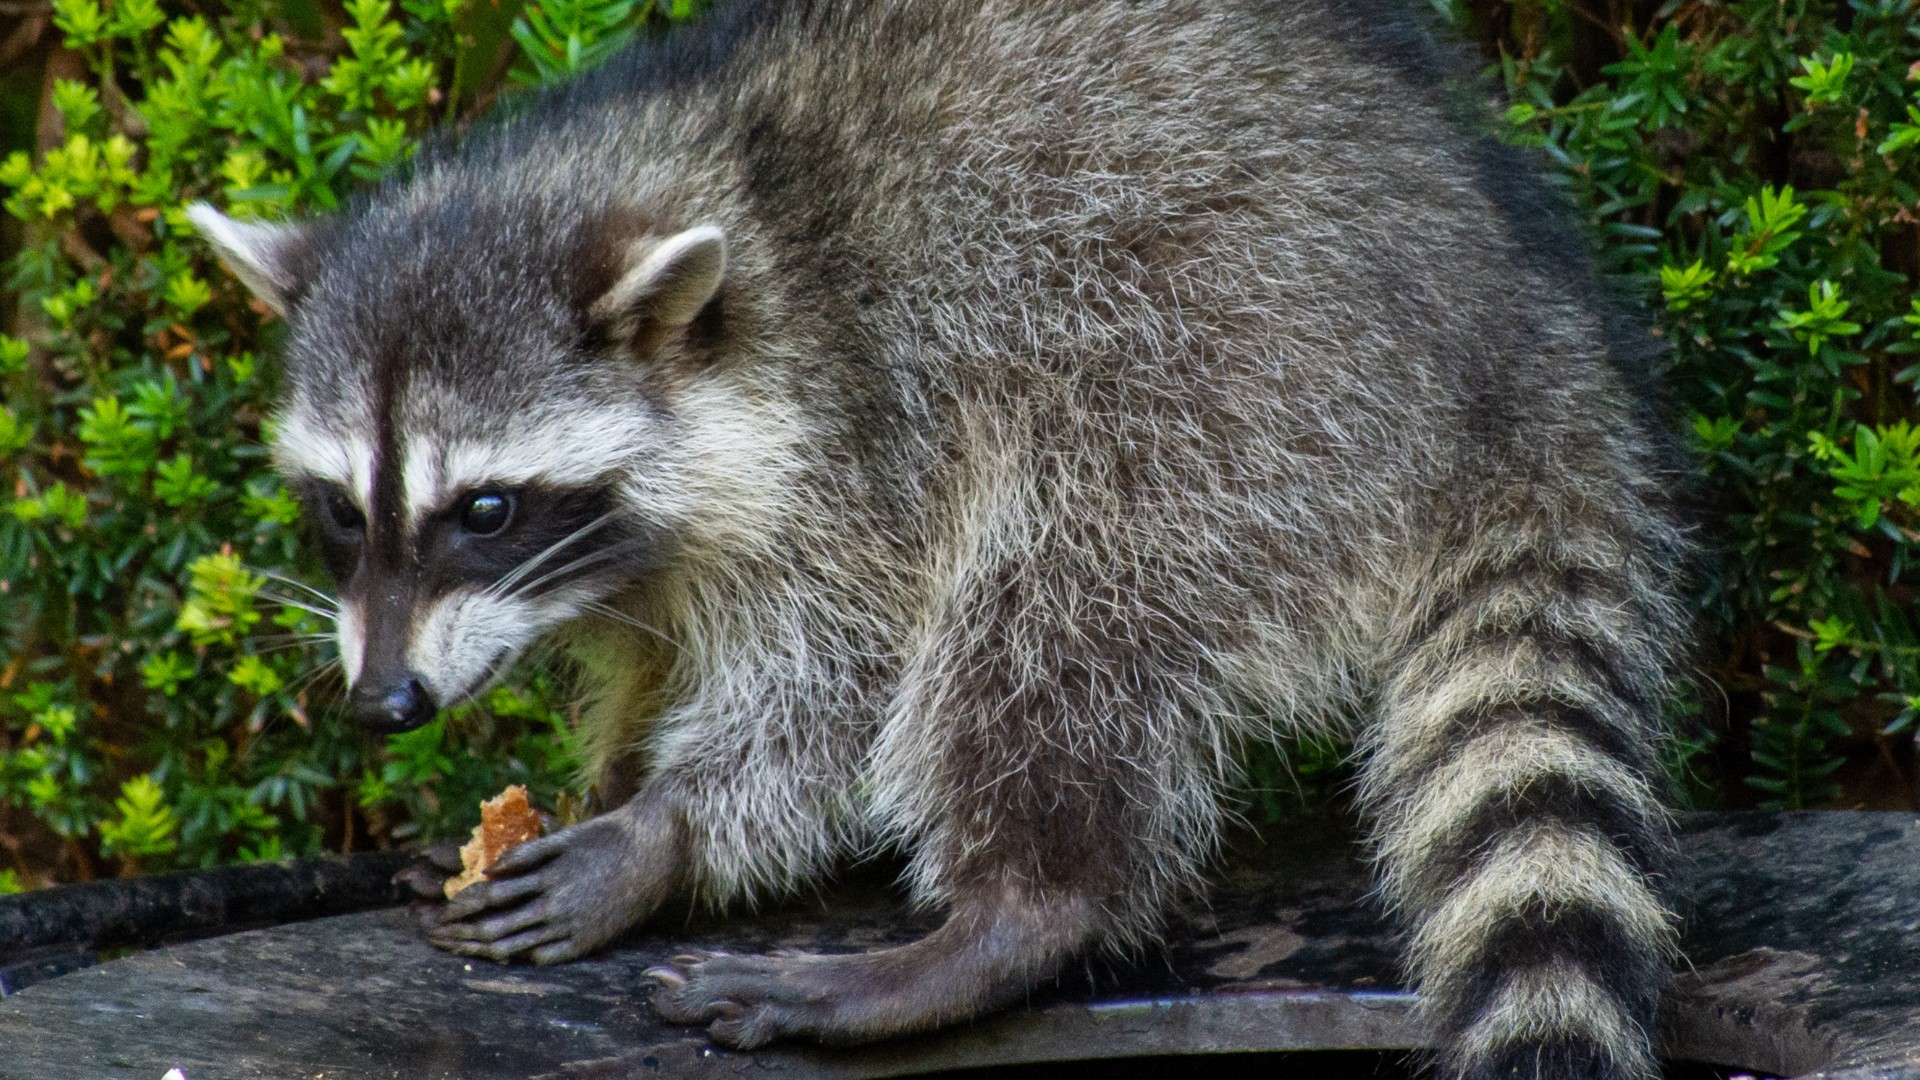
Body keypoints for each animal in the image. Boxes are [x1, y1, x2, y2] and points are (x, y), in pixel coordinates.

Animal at [186, 0, 1692, 1076]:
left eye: (485, 509)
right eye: (342, 511)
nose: (384, 702)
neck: (716, 173)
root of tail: (1518, 328)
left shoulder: (861, 432)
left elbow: (835, 681)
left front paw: (663, 833)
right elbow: (652, 659)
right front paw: (605, 779)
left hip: (1227, 372)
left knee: (1051, 603)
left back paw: (1013, 911)